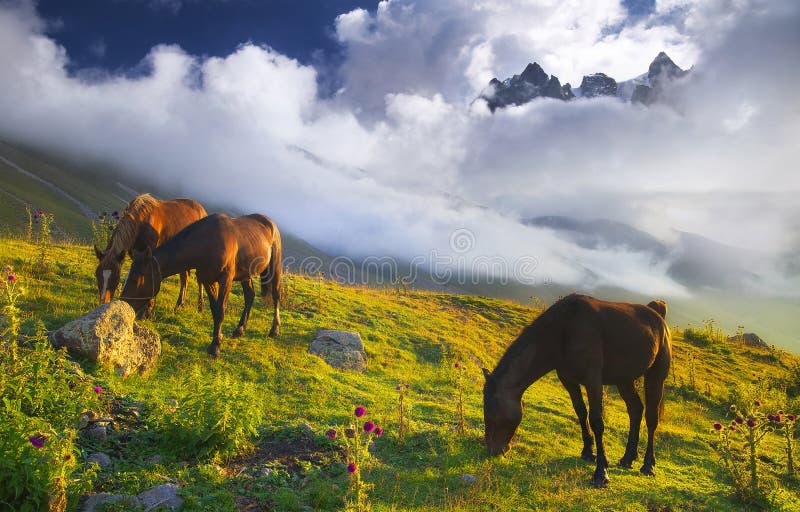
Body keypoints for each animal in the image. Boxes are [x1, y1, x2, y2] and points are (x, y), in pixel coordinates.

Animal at [120, 213, 282, 357]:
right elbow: (215, 310)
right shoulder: (208, 280)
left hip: (275, 268)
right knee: (249, 296)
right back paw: (239, 329)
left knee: (276, 296)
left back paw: (274, 330)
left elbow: (220, 311)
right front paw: (218, 339)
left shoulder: (225, 280)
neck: (207, 243)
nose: (123, 303)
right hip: (245, 274)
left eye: (136, 279)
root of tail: (270, 223)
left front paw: (215, 347)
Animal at [482, 294, 671, 488]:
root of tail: (657, 314)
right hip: (624, 379)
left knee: (651, 418)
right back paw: (628, 457)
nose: (494, 450)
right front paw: (588, 452)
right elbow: (580, 412)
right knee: (635, 410)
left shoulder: (593, 380)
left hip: (655, 377)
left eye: (493, 409)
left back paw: (648, 465)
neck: (565, 329)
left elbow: (596, 421)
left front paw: (601, 472)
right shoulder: (568, 380)